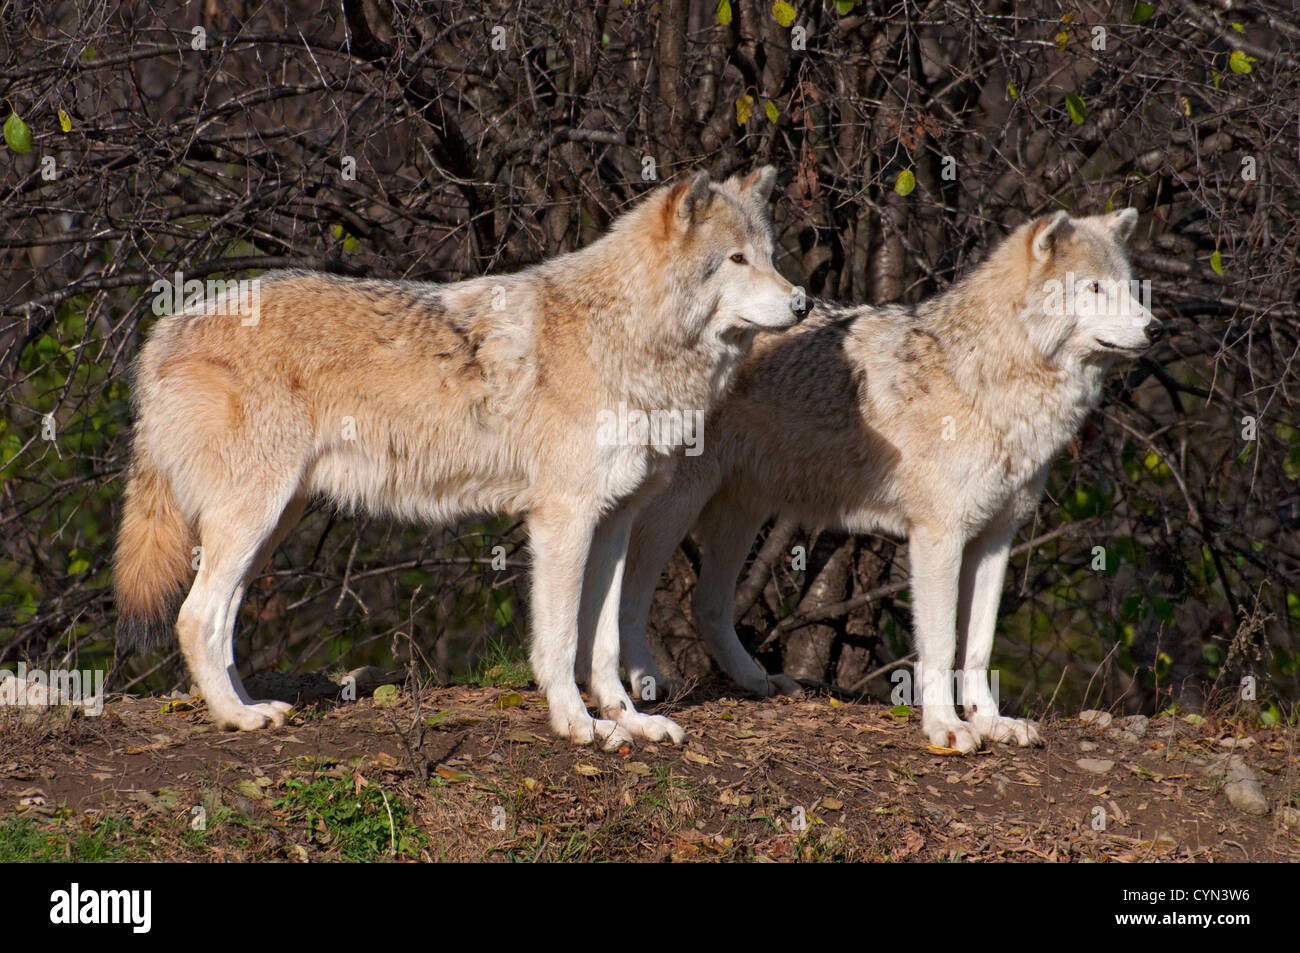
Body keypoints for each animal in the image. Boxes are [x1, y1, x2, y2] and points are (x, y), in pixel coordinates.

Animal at [113, 167, 808, 749]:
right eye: (737, 260)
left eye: (771, 258)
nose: (802, 301)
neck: (623, 337)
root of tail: (163, 332)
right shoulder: (563, 519)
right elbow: (560, 642)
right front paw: (577, 725)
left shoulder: (614, 520)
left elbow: (606, 645)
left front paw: (630, 721)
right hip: (252, 517)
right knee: (193, 616)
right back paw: (236, 718)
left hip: (267, 525)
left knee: (219, 619)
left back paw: (249, 704)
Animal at [618, 209, 1159, 752]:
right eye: (1094, 287)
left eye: (1130, 286)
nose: (1155, 327)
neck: (988, 381)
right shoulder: (938, 538)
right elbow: (940, 645)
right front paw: (946, 727)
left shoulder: (995, 539)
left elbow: (979, 647)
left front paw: (990, 721)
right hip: (676, 510)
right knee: (633, 596)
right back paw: (649, 683)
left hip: (742, 511)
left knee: (707, 605)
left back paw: (757, 681)